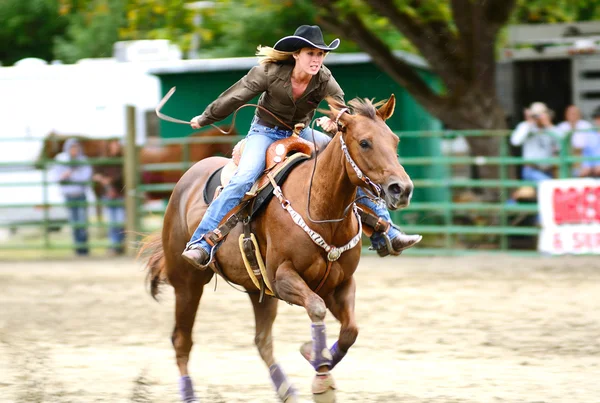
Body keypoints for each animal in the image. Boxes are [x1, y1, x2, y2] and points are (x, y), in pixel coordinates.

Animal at [141, 95, 412, 403]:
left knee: (262, 341)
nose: (402, 189)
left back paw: (287, 390)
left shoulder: (339, 283)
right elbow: (316, 309)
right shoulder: (283, 278)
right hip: (188, 283)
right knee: (182, 340)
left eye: (394, 141)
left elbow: (350, 331)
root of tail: (183, 184)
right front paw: (321, 377)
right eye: (365, 142)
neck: (319, 207)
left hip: (257, 289)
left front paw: (314, 355)